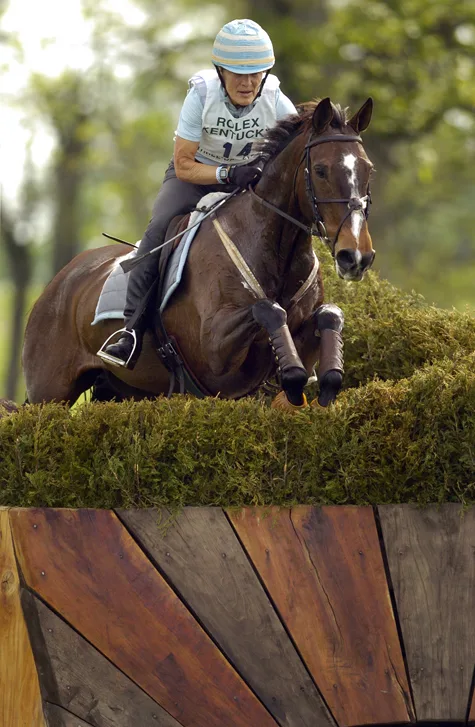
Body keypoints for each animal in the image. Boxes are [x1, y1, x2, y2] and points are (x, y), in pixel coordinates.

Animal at [22, 97, 375, 411]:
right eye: (321, 170)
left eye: (368, 169)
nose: (356, 256)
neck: (277, 252)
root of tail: (59, 282)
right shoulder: (214, 349)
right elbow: (269, 309)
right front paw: (293, 378)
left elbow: (329, 314)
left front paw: (327, 383)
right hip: (49, 391)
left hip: (119, 389)